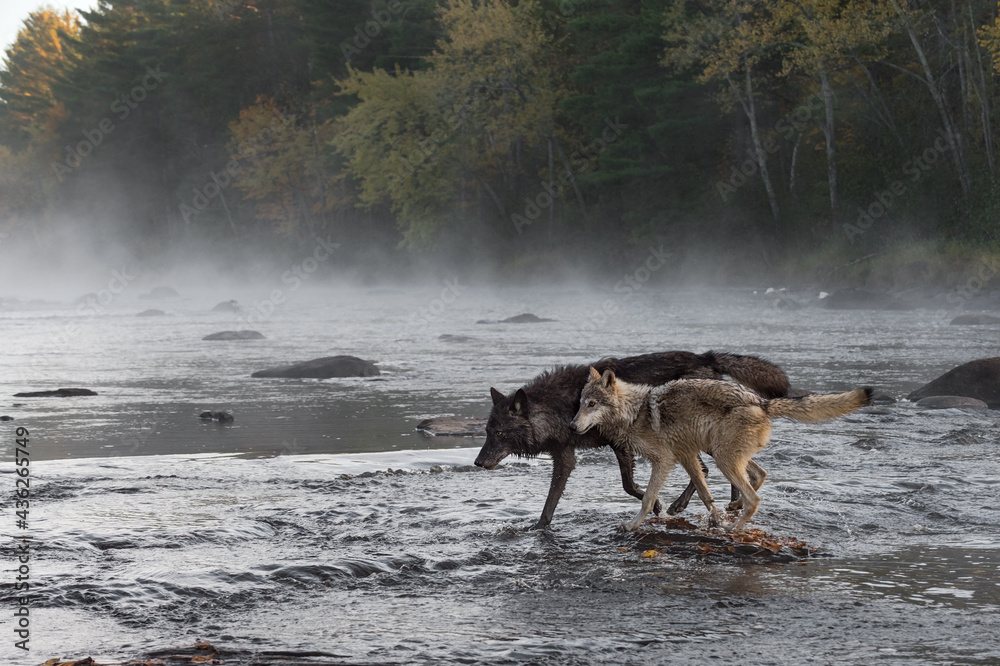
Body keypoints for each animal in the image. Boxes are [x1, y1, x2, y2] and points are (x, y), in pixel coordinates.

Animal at [474, 351, 790, 529]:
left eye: (500, 434)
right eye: (488, 432)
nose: (477, 462)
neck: (556, 407)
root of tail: (706, 356)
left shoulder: (619, 444)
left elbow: (627, 485)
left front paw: (657, 505)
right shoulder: (565, 456)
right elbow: (551, 499)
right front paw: (540, 527)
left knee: (711, 469)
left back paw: (688, 505)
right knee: (725, 470)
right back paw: (732, 504)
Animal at [570, 367, 872, 533]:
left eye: (593, 404)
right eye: (581, 403)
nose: (572, 426)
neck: (634, 413)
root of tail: (761, 402)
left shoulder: (665, 461)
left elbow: (647, 499)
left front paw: (632, 525)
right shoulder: (686, 456)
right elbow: (705, 494)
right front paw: (713, 518)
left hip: (723, 459)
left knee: (754, 499)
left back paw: (732, 528)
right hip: (719, 453)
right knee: (760, 474)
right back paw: (733, 509)